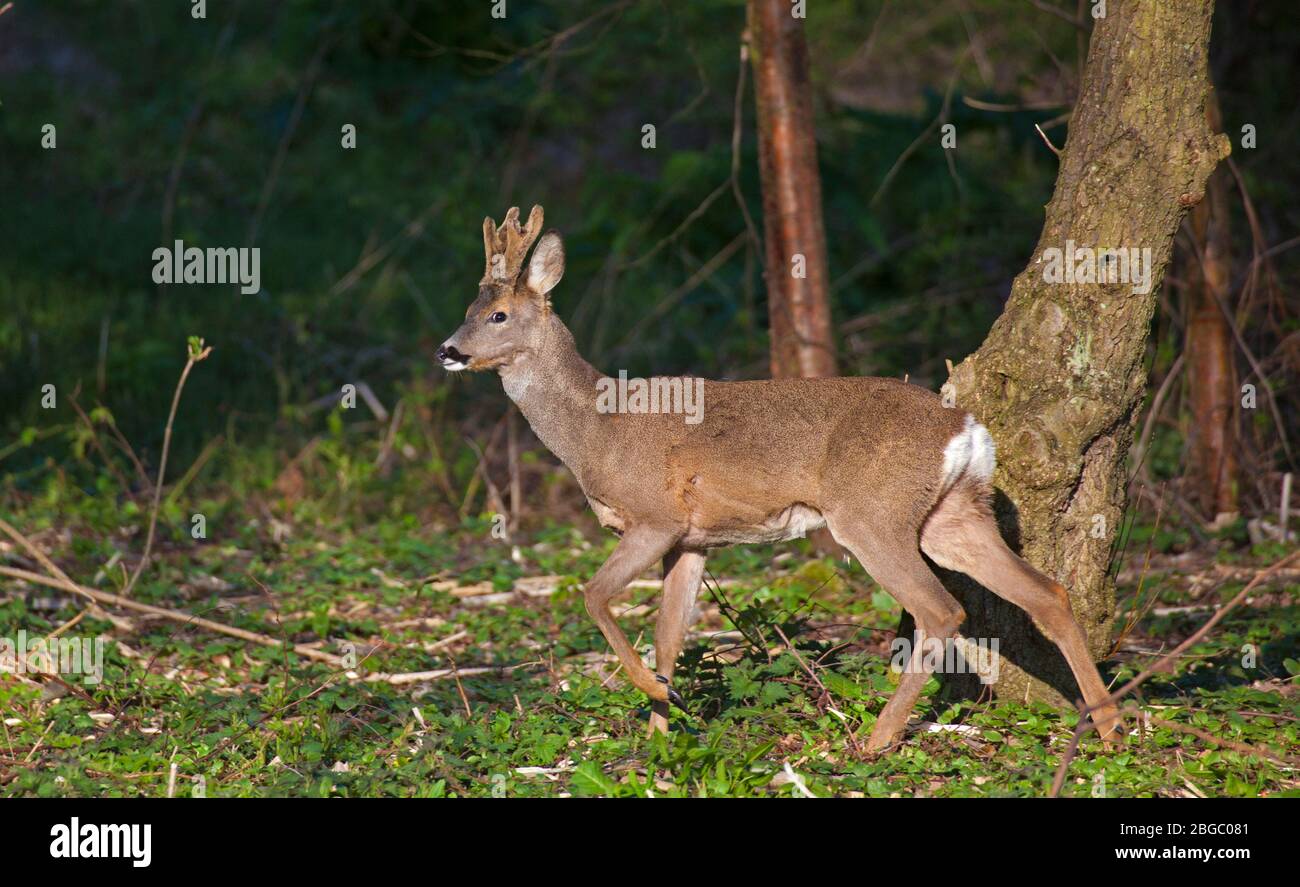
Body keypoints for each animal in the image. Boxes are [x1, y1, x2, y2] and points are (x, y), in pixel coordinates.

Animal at [436, 205, 1123, 752]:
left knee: (942, 610)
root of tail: (968, 429)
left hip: (872, 515)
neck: (593, 429)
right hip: (952, 514)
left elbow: (594, 597)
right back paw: (1112, 726)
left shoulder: (655, 517)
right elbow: (668, 636)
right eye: (468, 308)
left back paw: (876, 739)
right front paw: (661, 732)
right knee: (1047, 594)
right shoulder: (693, 539)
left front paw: (653, 697)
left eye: (498, 315)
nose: (447, 350)